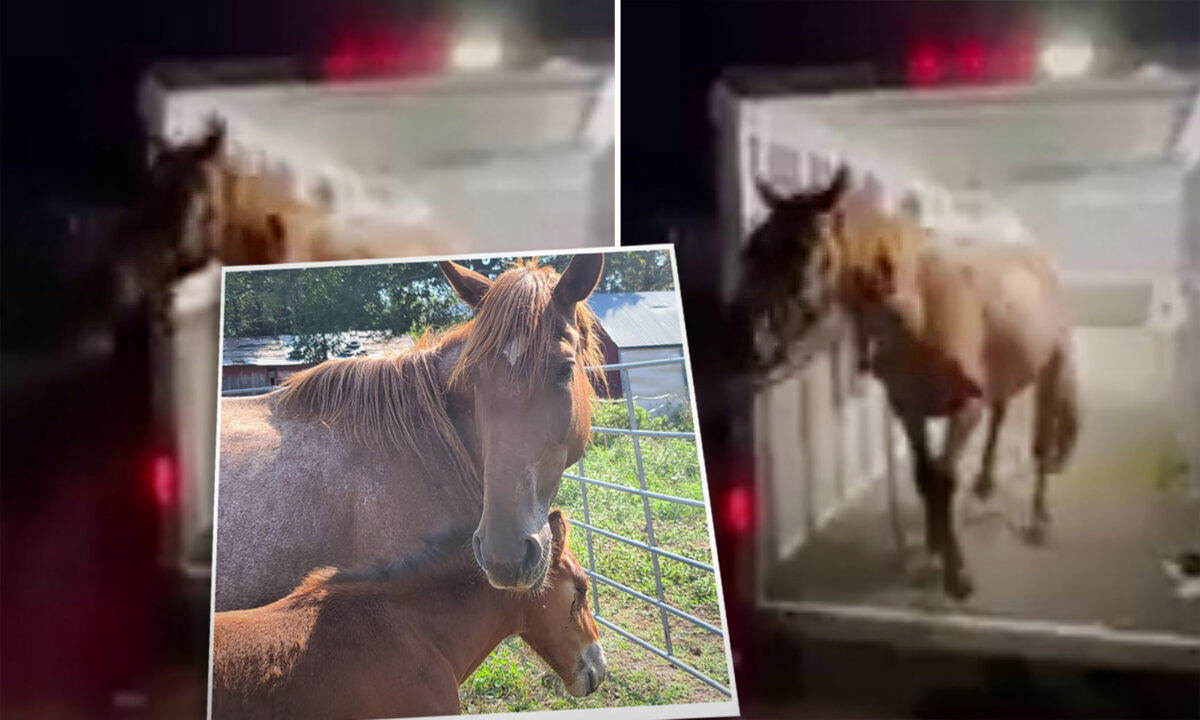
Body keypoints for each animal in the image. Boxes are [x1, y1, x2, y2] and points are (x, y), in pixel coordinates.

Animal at [734, 168, 1080, 599]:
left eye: (802, 248)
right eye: (753, 246)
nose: (751, 341)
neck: (919, 310)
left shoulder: (965, 408)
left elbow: (944, 480)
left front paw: (957, 574)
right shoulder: (908, 408)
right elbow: (924, 477)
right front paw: (933, 548)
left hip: (1053, 365)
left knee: (1041, 444)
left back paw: (1038, 518)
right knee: (1000, 415)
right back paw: (985, 483)